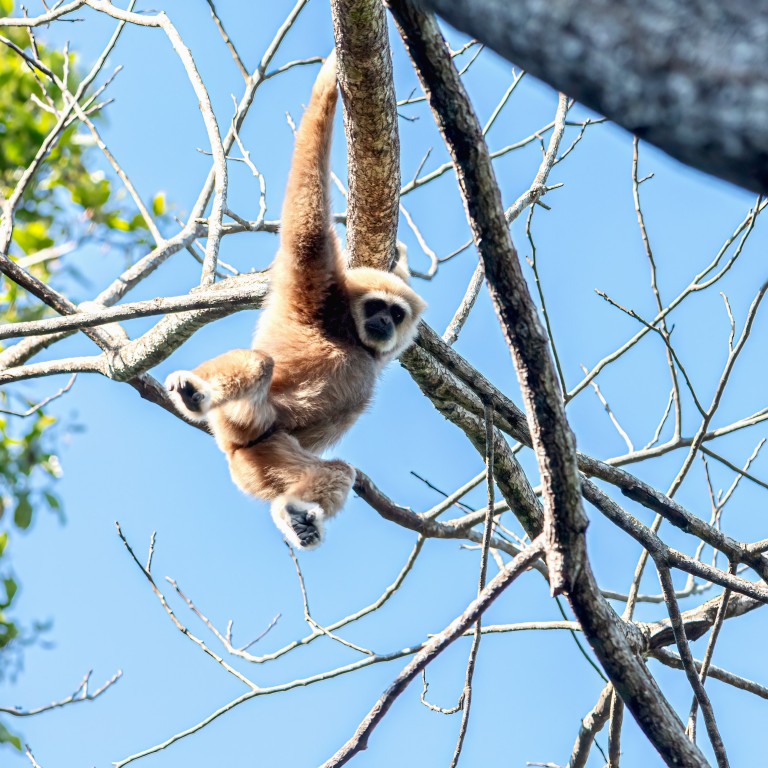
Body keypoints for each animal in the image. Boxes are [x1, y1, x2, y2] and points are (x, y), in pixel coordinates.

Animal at [165, 52, 426, 550]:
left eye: (396, 312)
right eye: (375, 308)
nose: (384, 323)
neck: (346, 330)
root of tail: (232, 445)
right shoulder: (315, 283)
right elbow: (307, 226)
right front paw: (329, 79)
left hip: (264, 451)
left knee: (336, 471)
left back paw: (296, 515)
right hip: (247, 420)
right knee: (259, 365)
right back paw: (195, 392)